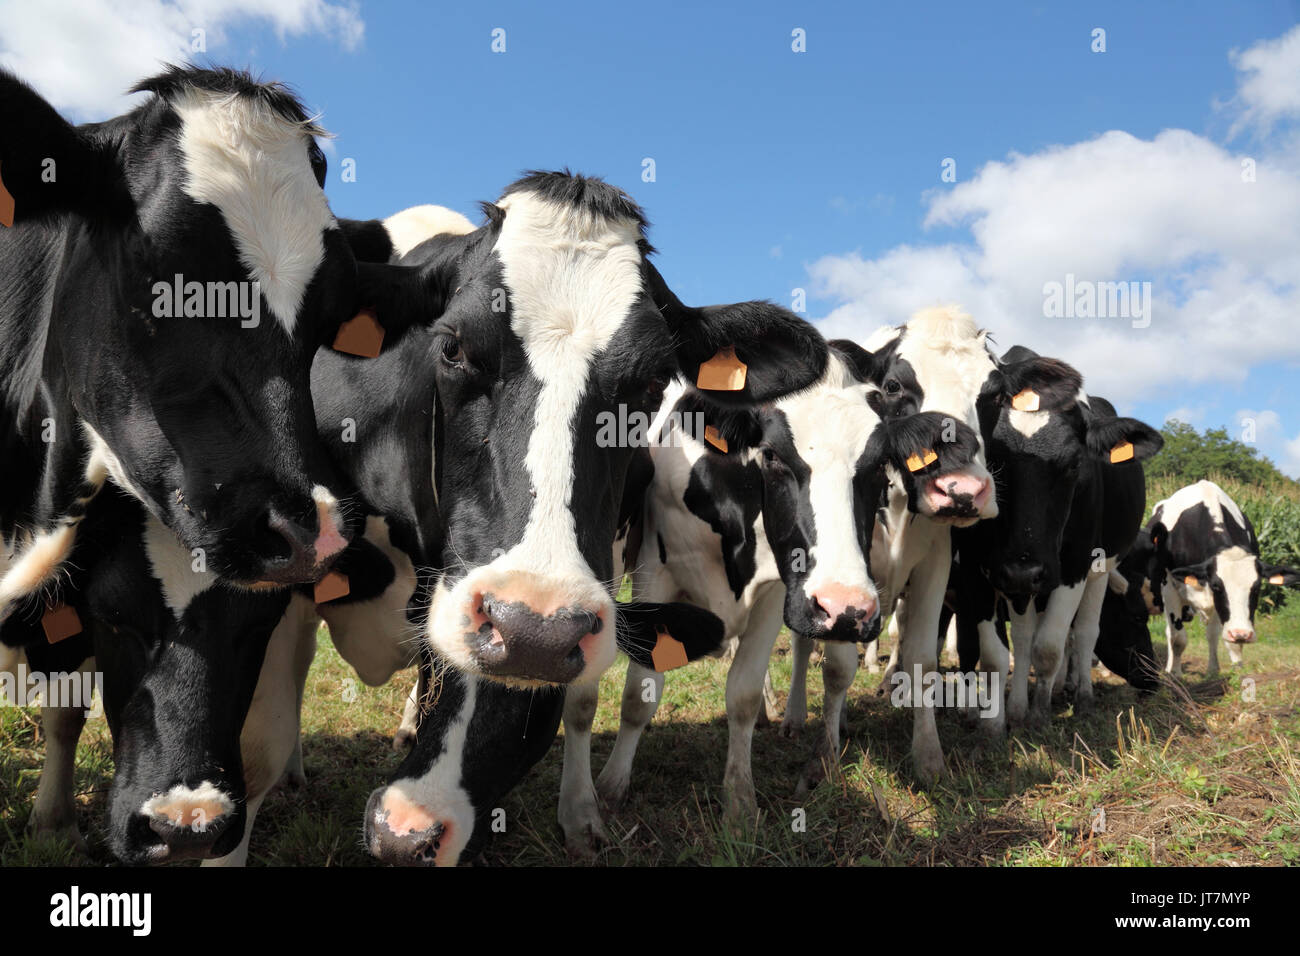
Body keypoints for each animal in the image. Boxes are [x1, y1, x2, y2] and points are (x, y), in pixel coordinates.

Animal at [556, 340, 988, 853]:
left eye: (878, 462)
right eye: (774, 454)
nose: (845, 607)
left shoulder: (774, 591)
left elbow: (741, 695)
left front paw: (740, 804)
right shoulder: (653, 575)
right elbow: (639, 694)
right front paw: (610, 785)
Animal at [1144, 480, 1300, 676]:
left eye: (1257, 587)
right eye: (1217, 585)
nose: (1241, 633)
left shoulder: (1217, 604)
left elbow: (1217, 637)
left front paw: (1219, 671)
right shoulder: (1170, 588)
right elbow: (1178, 638)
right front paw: (1176, 675)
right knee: (1170, 632)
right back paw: (1169, 668)